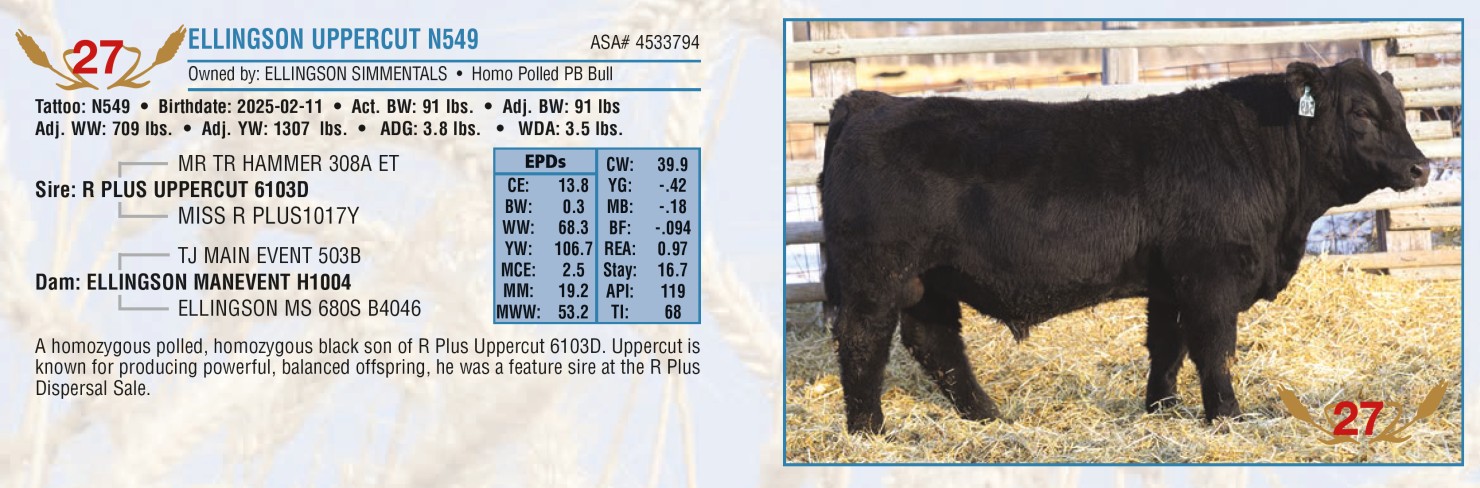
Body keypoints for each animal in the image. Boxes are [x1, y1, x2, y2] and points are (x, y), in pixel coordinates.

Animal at [818, 59, 1431, 434]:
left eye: (1401, 108)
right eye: (1360, 112)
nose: (1420, 167)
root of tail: (869, 102)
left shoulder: (1171, 281)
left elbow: (1168, 346)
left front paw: (1163, 408)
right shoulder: (1210, 277)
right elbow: (1214, 348)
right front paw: (1227, 416)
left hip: (931, 279)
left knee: (936, 343)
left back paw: (988, 416)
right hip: (878, 272)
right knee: (863, 340)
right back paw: (868, 430)